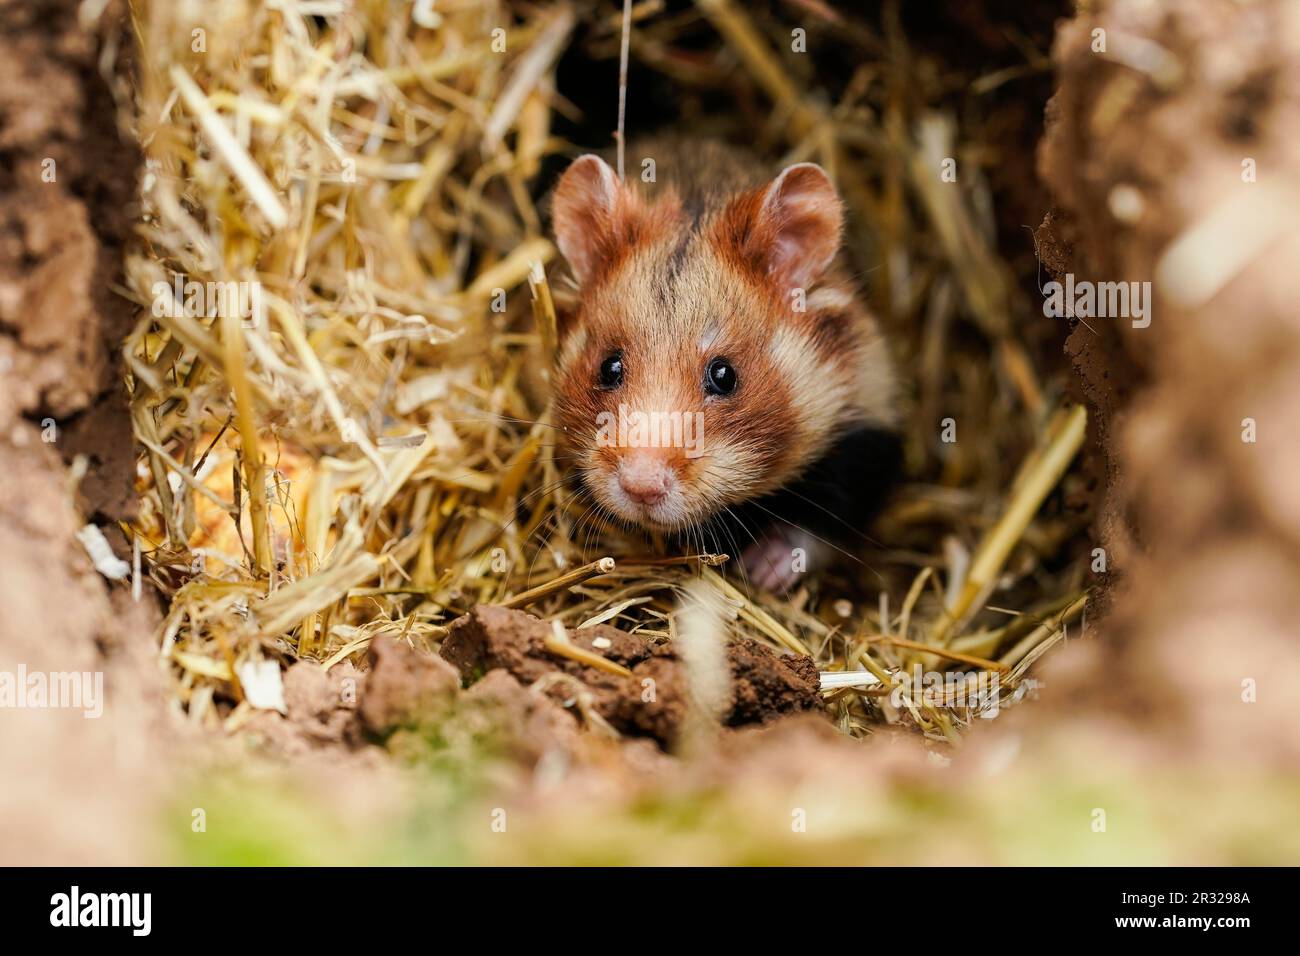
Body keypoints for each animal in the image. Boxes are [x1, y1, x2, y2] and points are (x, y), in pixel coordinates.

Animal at [547, 138, 902, 591]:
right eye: (609, 367)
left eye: (724, 375)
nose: (642, 488)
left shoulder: (867, 435)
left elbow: (824, 519)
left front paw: (763, 569)